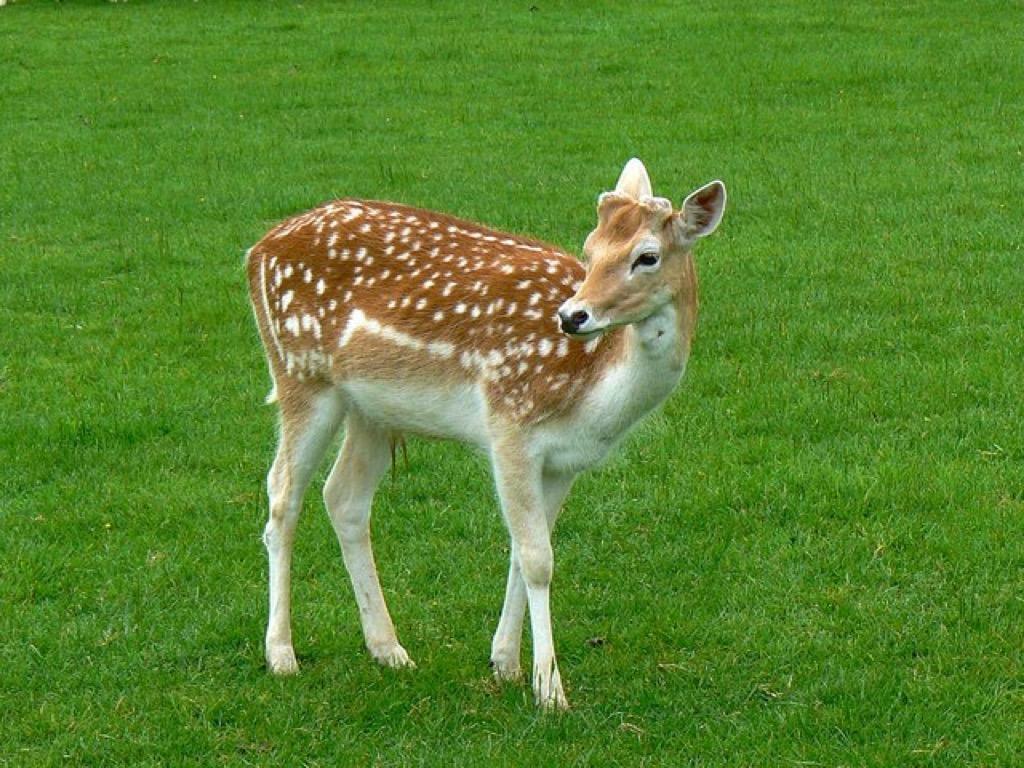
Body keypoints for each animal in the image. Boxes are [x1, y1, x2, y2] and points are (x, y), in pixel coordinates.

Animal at [245, 159, 726, 709]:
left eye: (647, 257)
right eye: (590, 248)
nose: (572, 316)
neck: (593, 391)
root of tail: (257, 250)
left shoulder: (564, 461)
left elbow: (524, 550)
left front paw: (507, 665)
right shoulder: (509, 422)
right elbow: (538, 559)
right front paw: (551, 690)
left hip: (373, 408)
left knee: (343, 496)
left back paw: (388, 649)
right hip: (300, 371)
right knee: (282, 495)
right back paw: (281, 654)